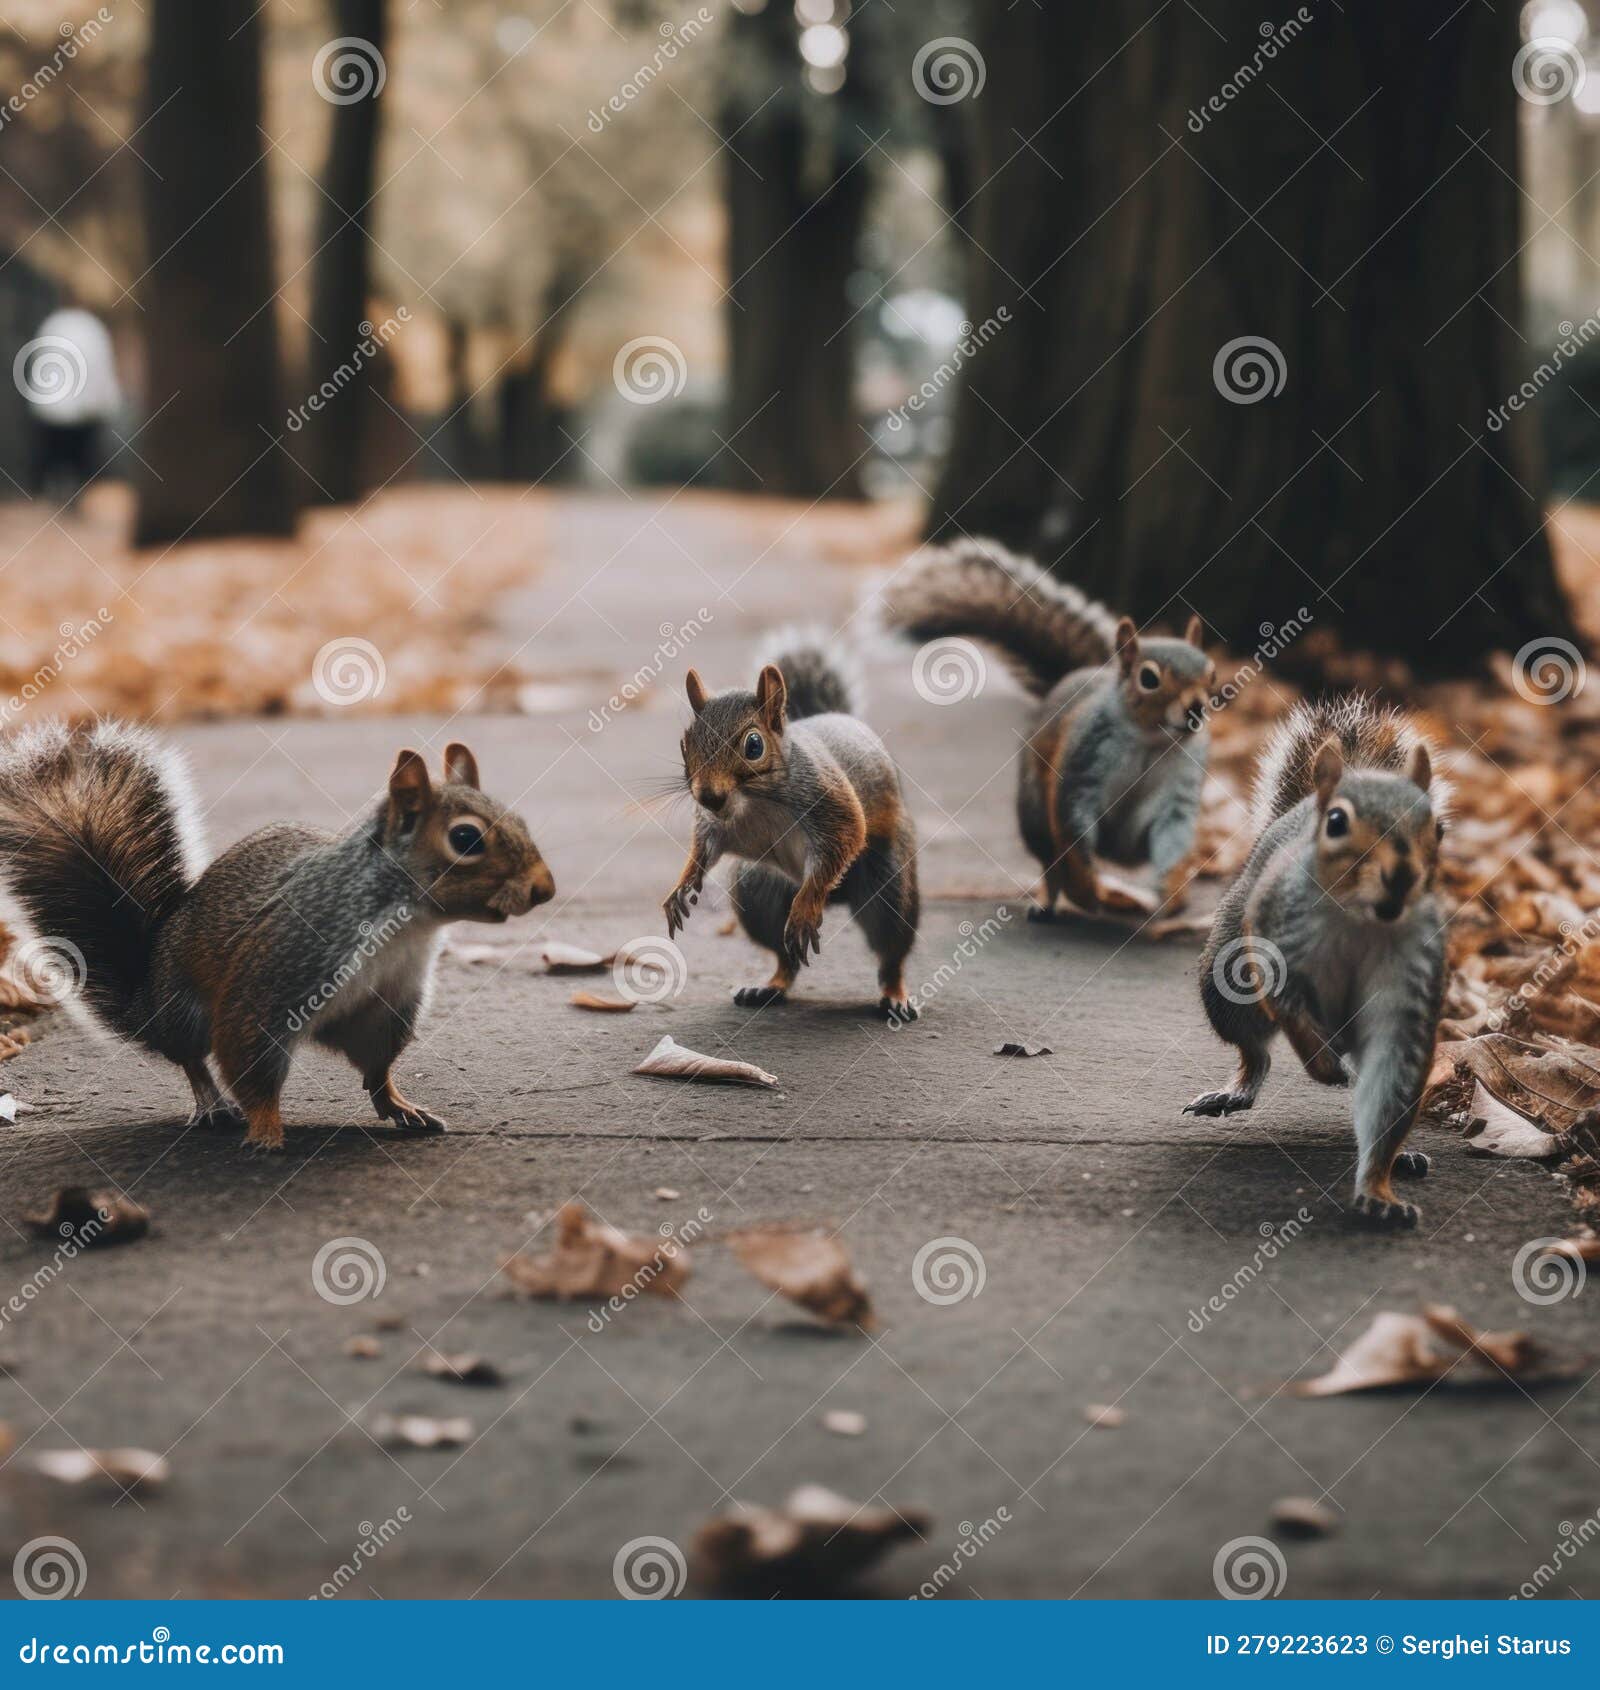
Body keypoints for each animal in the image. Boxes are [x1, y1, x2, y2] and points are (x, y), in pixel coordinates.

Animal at [0, 721, 554, 1150]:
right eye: (466, 839)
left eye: (521, 820)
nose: (544, 889)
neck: (406, 924)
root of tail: (147, 993)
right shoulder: (275, 977)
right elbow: (252, 1062)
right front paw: (266, 1129)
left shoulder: (388, 1000)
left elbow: (378, 1065)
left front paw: (399, 1104)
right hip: (184, 1012)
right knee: (190, 1056)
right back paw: (210, 1103)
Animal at [663, 630, 921, 1020]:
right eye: (684, 743)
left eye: (754, 745)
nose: (708, 797)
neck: (756, 802)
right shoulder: (714, 827)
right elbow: (701, 850)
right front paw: (682, 885)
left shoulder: (830, 804)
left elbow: (844, 839)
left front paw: (804, 908)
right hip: (755, 890)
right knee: (785, 957)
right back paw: (769, 986)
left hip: (888, 880)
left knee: (891, 947)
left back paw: (895, 995)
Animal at [879, 537, 1214, 918]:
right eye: (1149, 678)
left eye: (1211, 673)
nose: (1196, 708)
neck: (1151, 741)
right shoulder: (1082, 764)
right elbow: (1072, 833)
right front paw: (1085, 891)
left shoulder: (1180, 789)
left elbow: (1174, 838)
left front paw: (1174, 893)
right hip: (1035, 819)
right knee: (1052, 864)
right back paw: (1051, 902)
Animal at [1185, 697, 1448, 1228]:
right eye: (1337, 823)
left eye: (1439, 829)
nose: (1402, 875)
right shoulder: (1277, 947)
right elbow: (1296, 1018)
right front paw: (1326, 1066)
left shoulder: (1410, 984)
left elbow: (1392, 1076)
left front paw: (1378, 1189)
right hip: (1223, 985)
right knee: (1255, 1051)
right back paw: (1241, 1089)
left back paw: (1402, 1155)